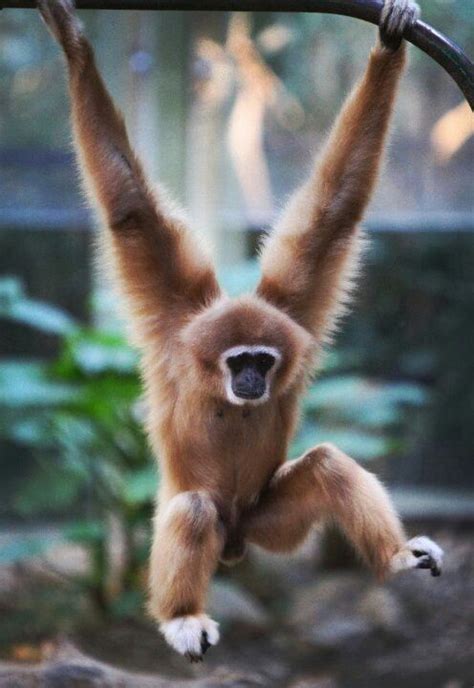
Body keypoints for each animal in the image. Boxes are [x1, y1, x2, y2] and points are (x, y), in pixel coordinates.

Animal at [38, 0, 444, 663]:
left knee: (327, 466)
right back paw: (182, 615)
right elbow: (131, 213)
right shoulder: (177, 321)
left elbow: (334, 214)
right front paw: (74, 44)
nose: (252, 379)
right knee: (195, 509)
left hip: (269, 525)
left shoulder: (293, 313)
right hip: (196, 524)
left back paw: (393, 556)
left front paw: (390, 44)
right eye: (237, 361)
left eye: (263, 360)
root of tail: (234, 544)